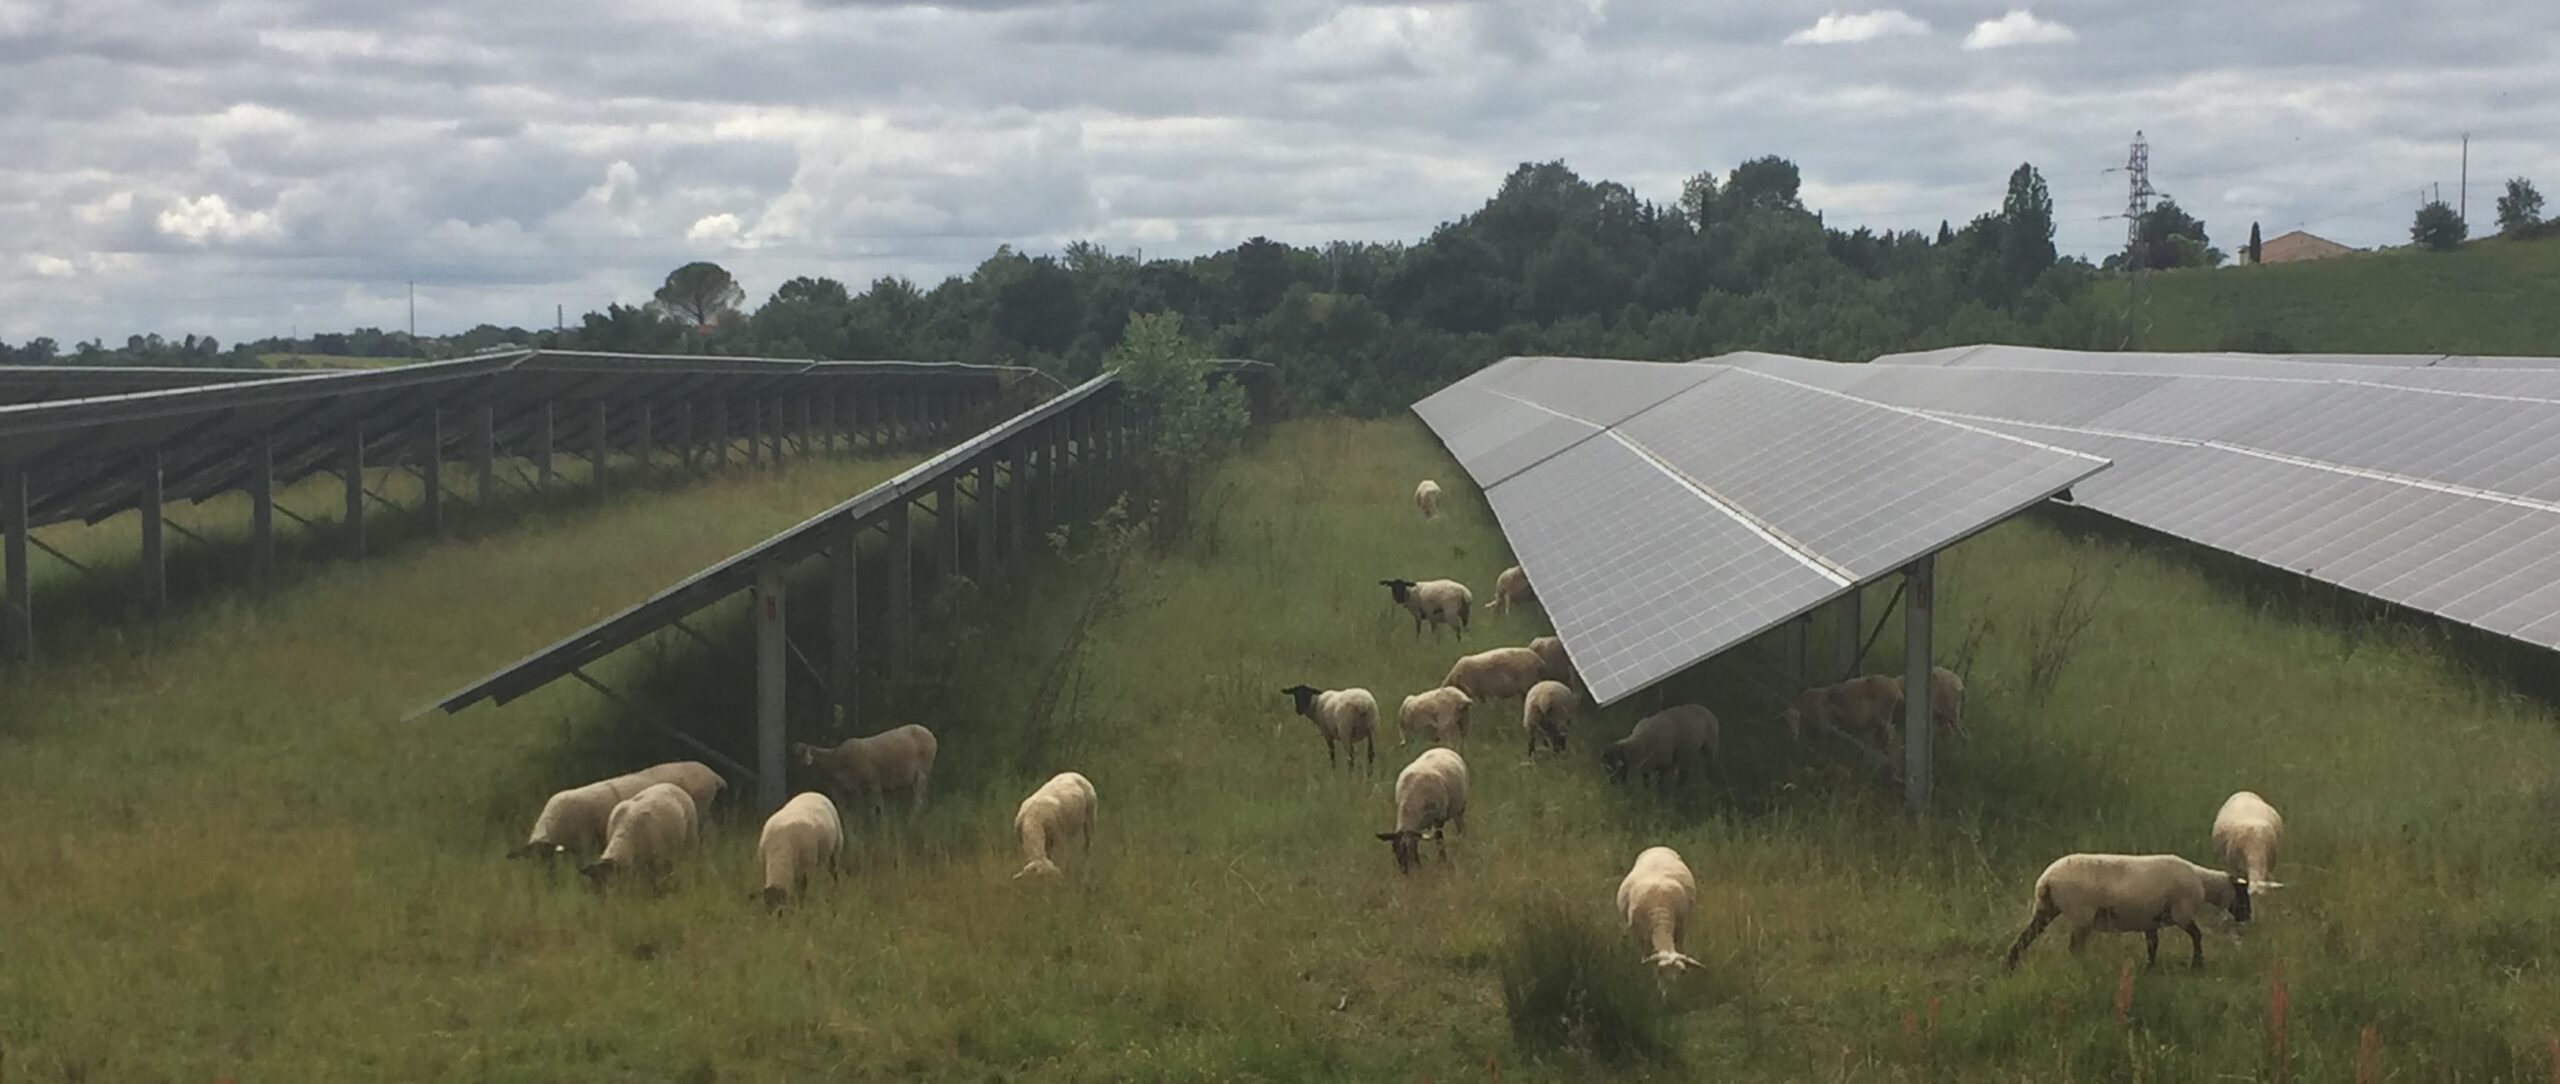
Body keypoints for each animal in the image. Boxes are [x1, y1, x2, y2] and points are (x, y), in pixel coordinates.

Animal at [788, 727, 942, 820]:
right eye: (800, 753)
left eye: (810, 751)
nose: (807, 762)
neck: (836, 761)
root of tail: (930, 734)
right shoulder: (846, 790)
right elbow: (851, 812)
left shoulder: (872, 781)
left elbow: (875, 807)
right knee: (922, 796)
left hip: (923, 772)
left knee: (918, 799)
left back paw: (912, 818)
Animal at [1372, 748, 1474, 876]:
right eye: (1394, 850)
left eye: (1409, 849)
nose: (1406, 872)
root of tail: (1441, 748)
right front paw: (1419, 865)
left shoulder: (1439, 819)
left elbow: (1439, 840)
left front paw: (1442, 861)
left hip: (1460, 808)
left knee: (1461, 827)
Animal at [2007, 850, 2252, 973]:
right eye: (2243, 893)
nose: (2248, 916)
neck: (2204, 883)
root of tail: (2046, 880)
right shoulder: (2182, 913)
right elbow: (2197, 935)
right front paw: (2197, 964)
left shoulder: (2150, 920)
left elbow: (2153, 945)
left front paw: (2150, 968)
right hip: (2081, 913)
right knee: (2074, 946)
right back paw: (2083, 966)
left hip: (2047, 908)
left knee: (2025, 938)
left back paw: (2010, 965)